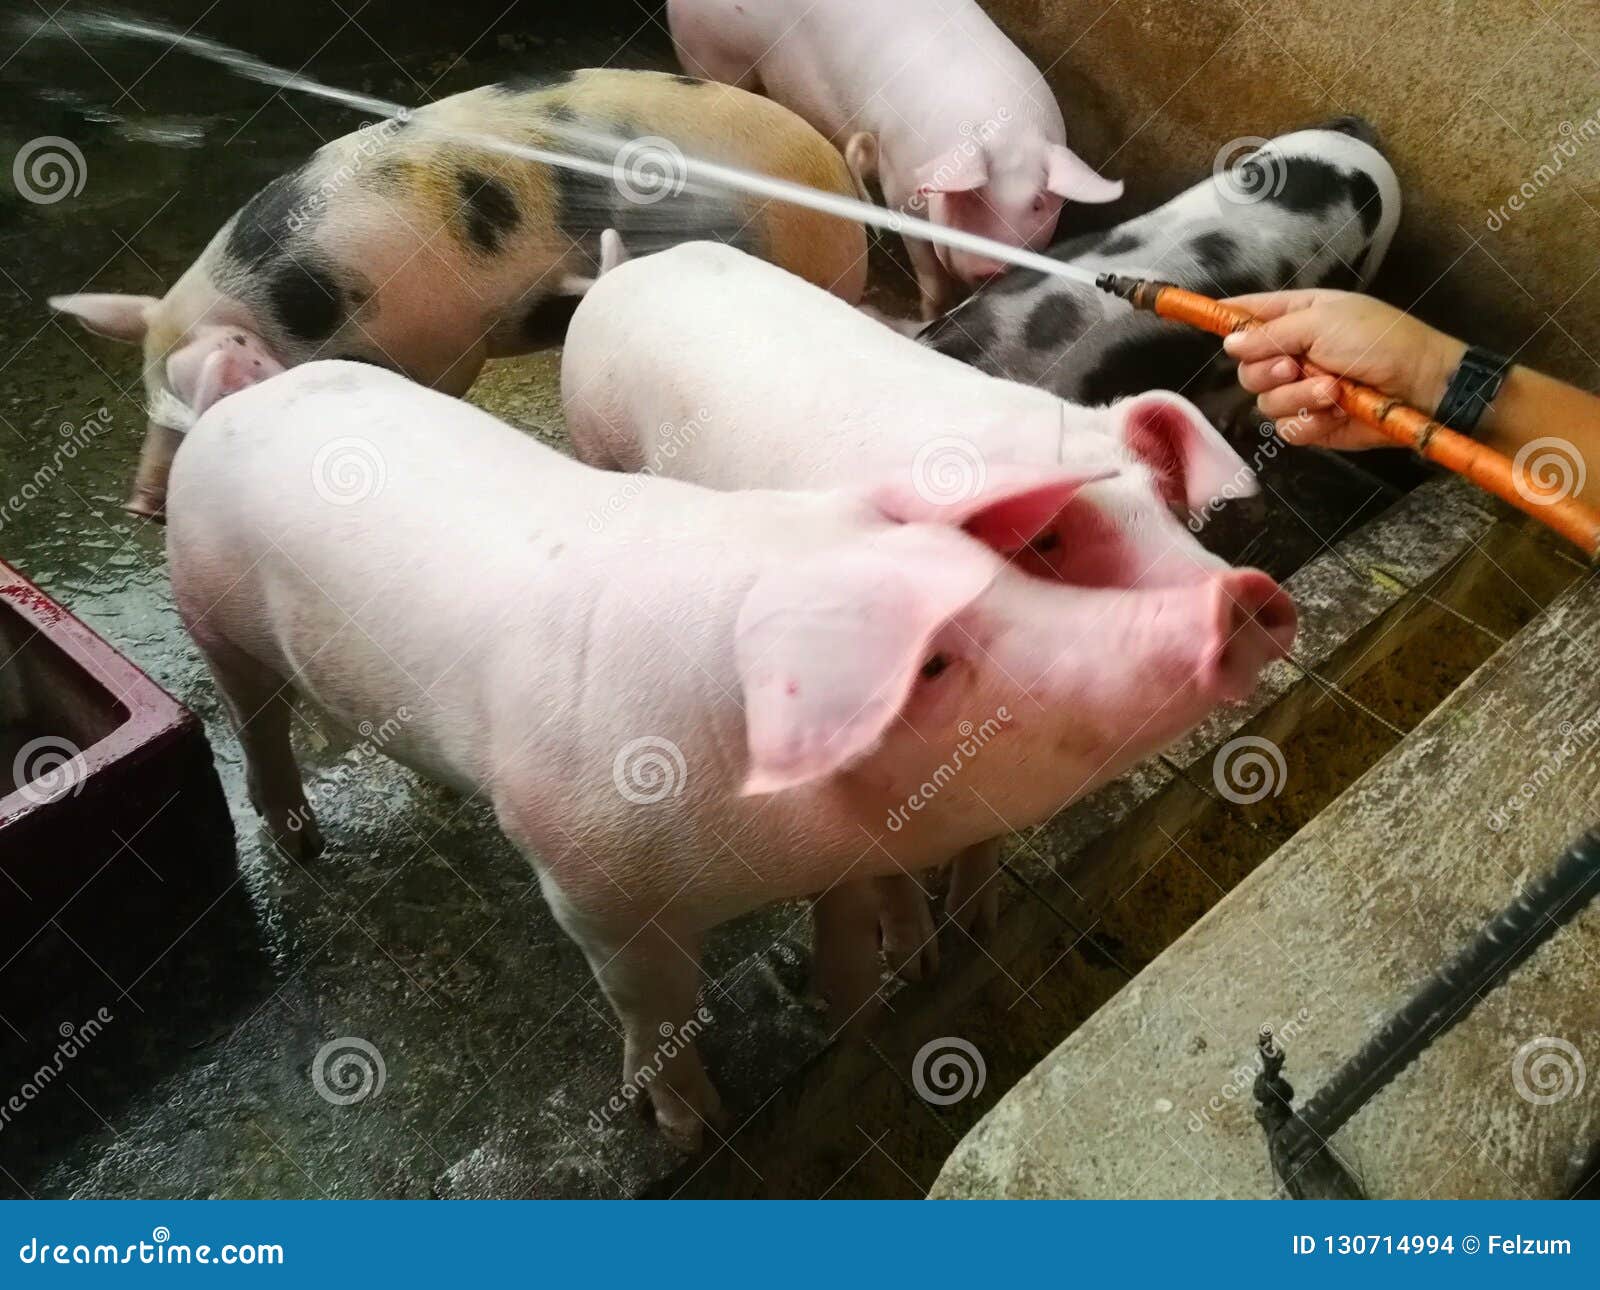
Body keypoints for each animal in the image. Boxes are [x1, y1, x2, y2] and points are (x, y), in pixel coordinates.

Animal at [49, 68, 868, 518]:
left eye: (198, 409)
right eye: (149, 400)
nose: (139, 506)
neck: (302, 307)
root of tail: (834, 173)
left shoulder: (439, 346)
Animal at [169, 360, 1295, 1151]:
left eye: (998, 576)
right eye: (929, 662)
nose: (1244, 595)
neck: (751, 840)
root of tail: (244, 396)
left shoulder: (834, 856)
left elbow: (845, 938)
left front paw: (860, 1018)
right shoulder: (590, 888)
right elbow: (656, 1005)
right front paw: (688, 1128)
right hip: (209, 613)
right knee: (256, 723)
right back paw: (302, 847)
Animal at [562, 241, 1269, 972]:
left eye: (1163, 498)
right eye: (1046, 537)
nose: (1244, 591)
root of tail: (623, 268)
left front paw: (975, 932)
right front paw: (916, 964)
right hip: (595, 438)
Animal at [668, 0, 1123, 318]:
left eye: (1037, 203)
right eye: (973, 196)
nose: (990, 268)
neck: (1007, 131)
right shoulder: (899, 188)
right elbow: (929, 273)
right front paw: (929, 313)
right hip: (710, 49)